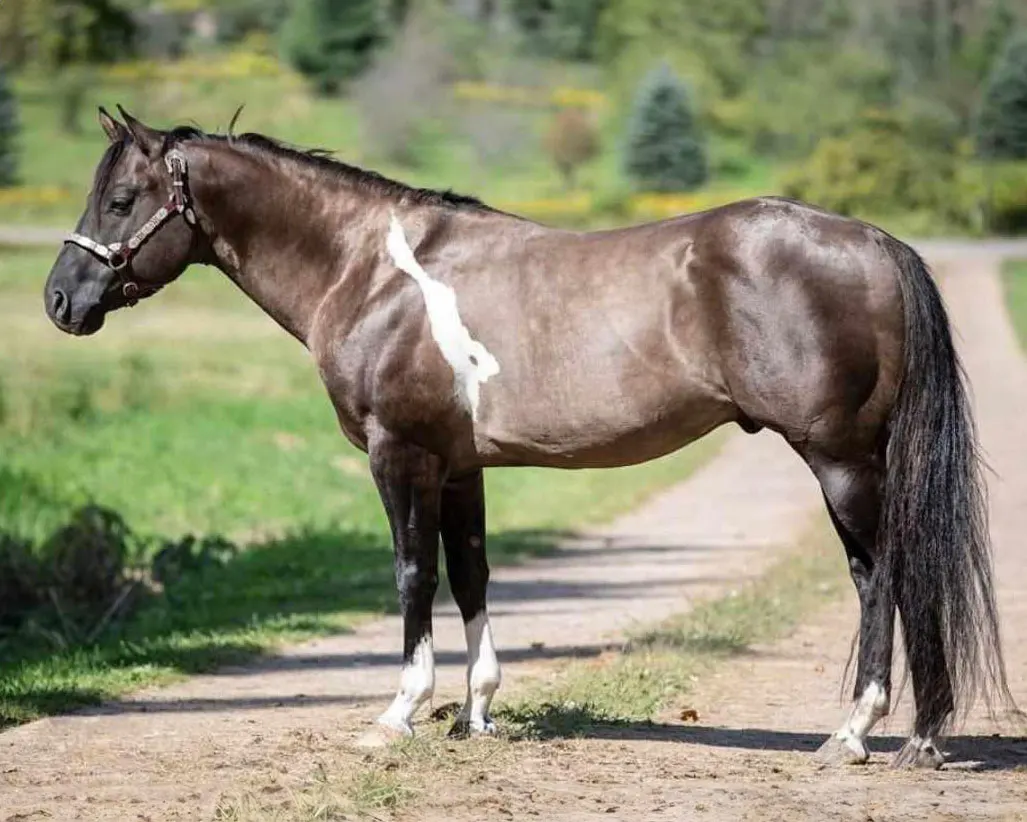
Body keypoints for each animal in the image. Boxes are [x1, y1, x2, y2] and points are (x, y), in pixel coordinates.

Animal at [43, 107, 1013, 768]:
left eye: (121, 199)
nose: (60, 300)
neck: (375, 273)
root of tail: (872, 240)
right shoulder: (457, 465)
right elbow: (471, 573)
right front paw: (475, 712)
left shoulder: (400, 454)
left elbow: (412, 574)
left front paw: (398, 713)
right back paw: (909, 734)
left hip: (838, 459)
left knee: (882, 574)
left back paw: (864, 733)